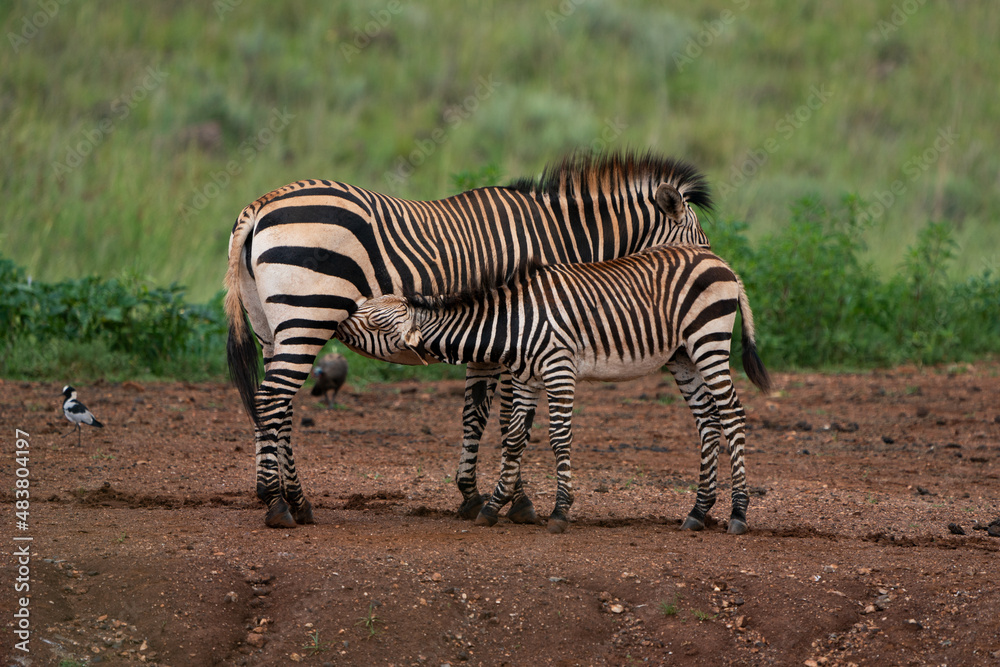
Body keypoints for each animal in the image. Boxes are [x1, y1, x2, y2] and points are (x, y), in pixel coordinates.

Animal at [224, 150, 713, 528]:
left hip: (273, 327)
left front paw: (473, 495)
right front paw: (517, 503)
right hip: (308, 313)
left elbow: (476, 415)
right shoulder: (520, 332)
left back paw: (287, 498)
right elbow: (513, 421)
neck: (558, 238)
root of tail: (260, 205)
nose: (715, 276)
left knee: (275, 401)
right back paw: (280, 504)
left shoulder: (491, 338)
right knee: (274, 399)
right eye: (698, 243)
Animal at [337, 244, 772, 534]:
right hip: (683, 356)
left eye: (375, 323)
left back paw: (738, 514)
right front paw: (494, 506)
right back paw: (697, 513)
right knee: (707, 422)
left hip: (708, 340)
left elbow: (559, 438)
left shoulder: (559, 369)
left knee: (732, 416)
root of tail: (721, 262)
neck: (510, 324)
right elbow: (514, 438)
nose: (338, 320)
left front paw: (560, 511)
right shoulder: (526, 378)